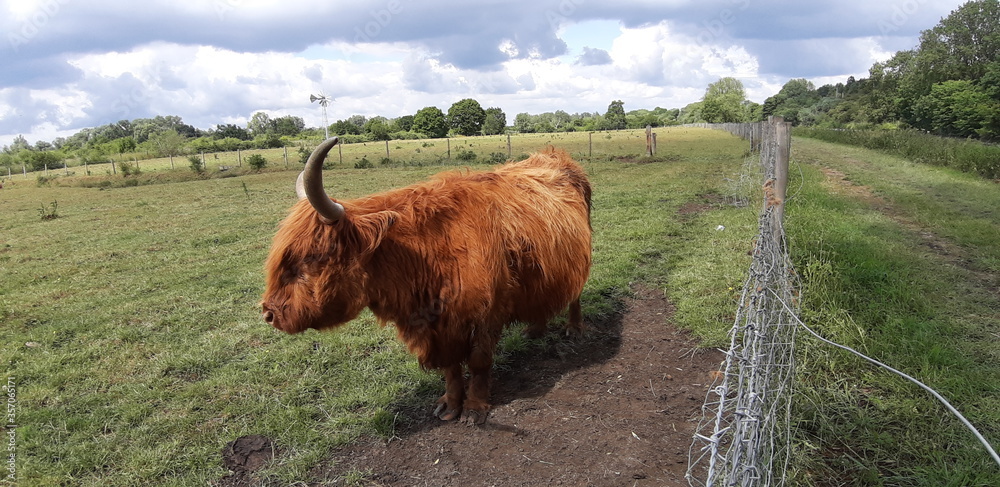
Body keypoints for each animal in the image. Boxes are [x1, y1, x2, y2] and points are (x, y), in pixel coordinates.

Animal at [261, 137, 592, 424]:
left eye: (310, 258)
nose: (269, 313)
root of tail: (554, 155)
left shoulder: (488, 312)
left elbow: (479, 360)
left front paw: (474, 407)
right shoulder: (440, 324)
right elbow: (451, 367)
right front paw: (450, 403)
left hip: (581, 254)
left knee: (575, 292)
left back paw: (574, 329)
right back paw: (535, 329)